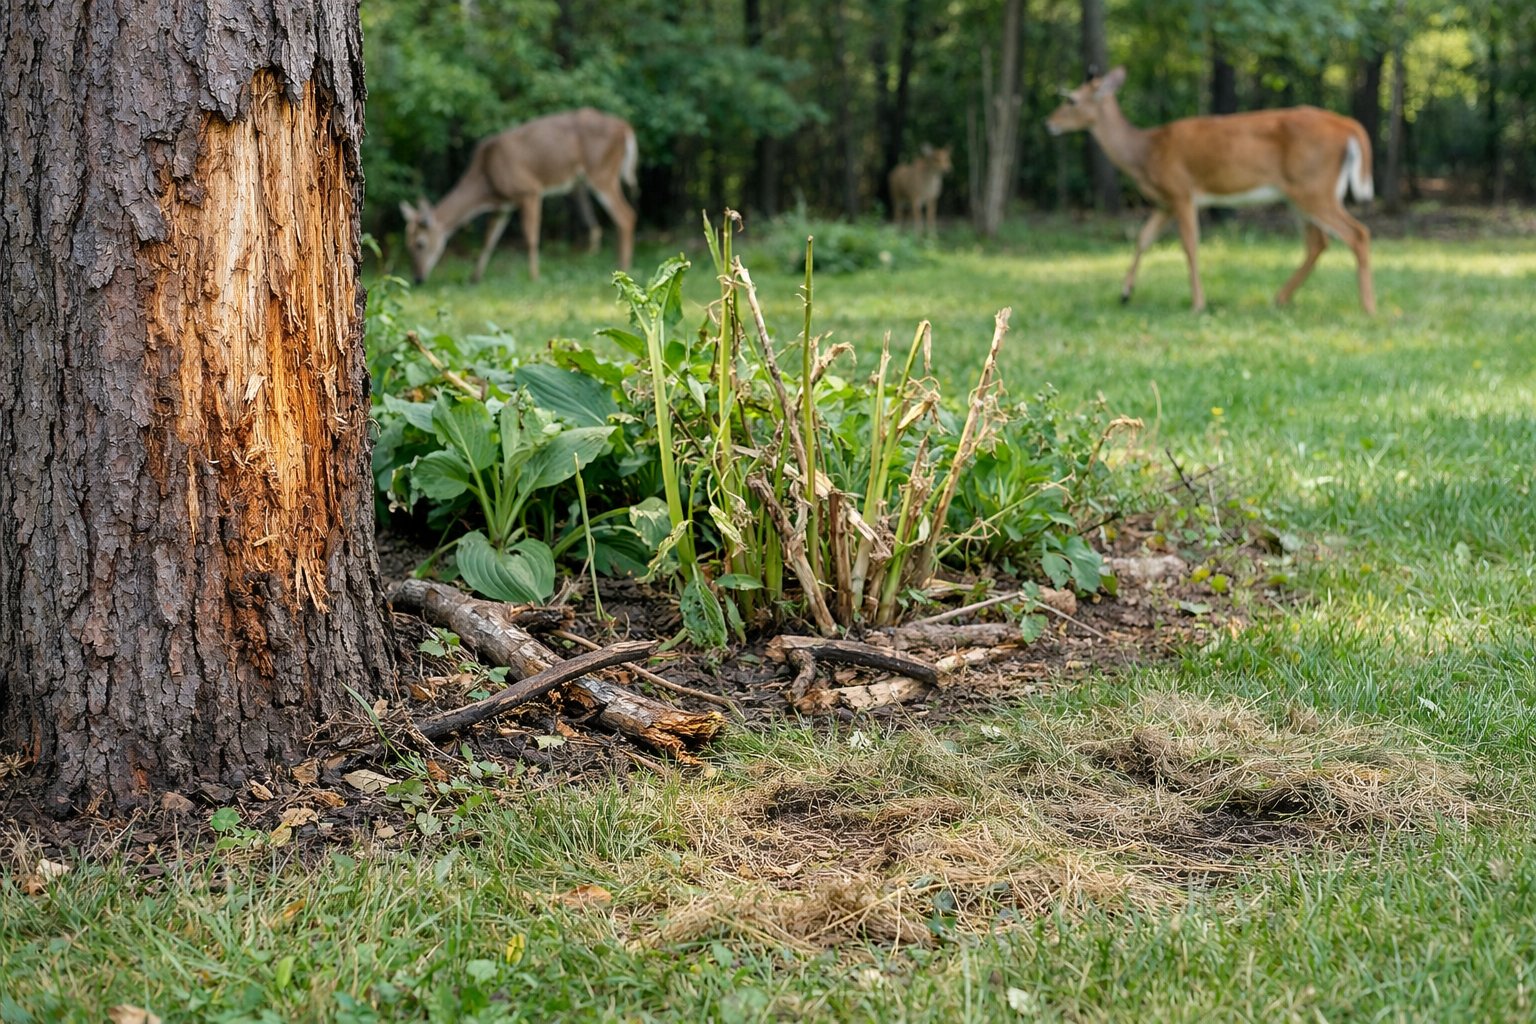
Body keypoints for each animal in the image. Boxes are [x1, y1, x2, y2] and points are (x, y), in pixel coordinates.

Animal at [399, 108, 638, 285]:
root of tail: (626, 128)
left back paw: (624, 267)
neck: (486, 182)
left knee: (626, 215)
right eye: (407, 245)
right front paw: (474, 278)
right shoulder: (503, 207)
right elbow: (488, 241)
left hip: (601, 173)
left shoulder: (529, 191)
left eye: (420, 244)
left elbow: (530, 237)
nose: (417, 279)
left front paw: (535, 277)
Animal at [1046, 67, 1376, 314]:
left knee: (1357, 234)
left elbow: (1189, 245)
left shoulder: (1181, 191)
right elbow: (1143, 239)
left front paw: (1198, 304)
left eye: (1072, 100)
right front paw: (1126, 292)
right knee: (1318, 243)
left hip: (1313, 189)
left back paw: (1367, 307)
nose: (1049, 123)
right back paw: (1280, 298)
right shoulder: (1165, 202)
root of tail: (1349, 126)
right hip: (1298, 194)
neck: (1146, 152)